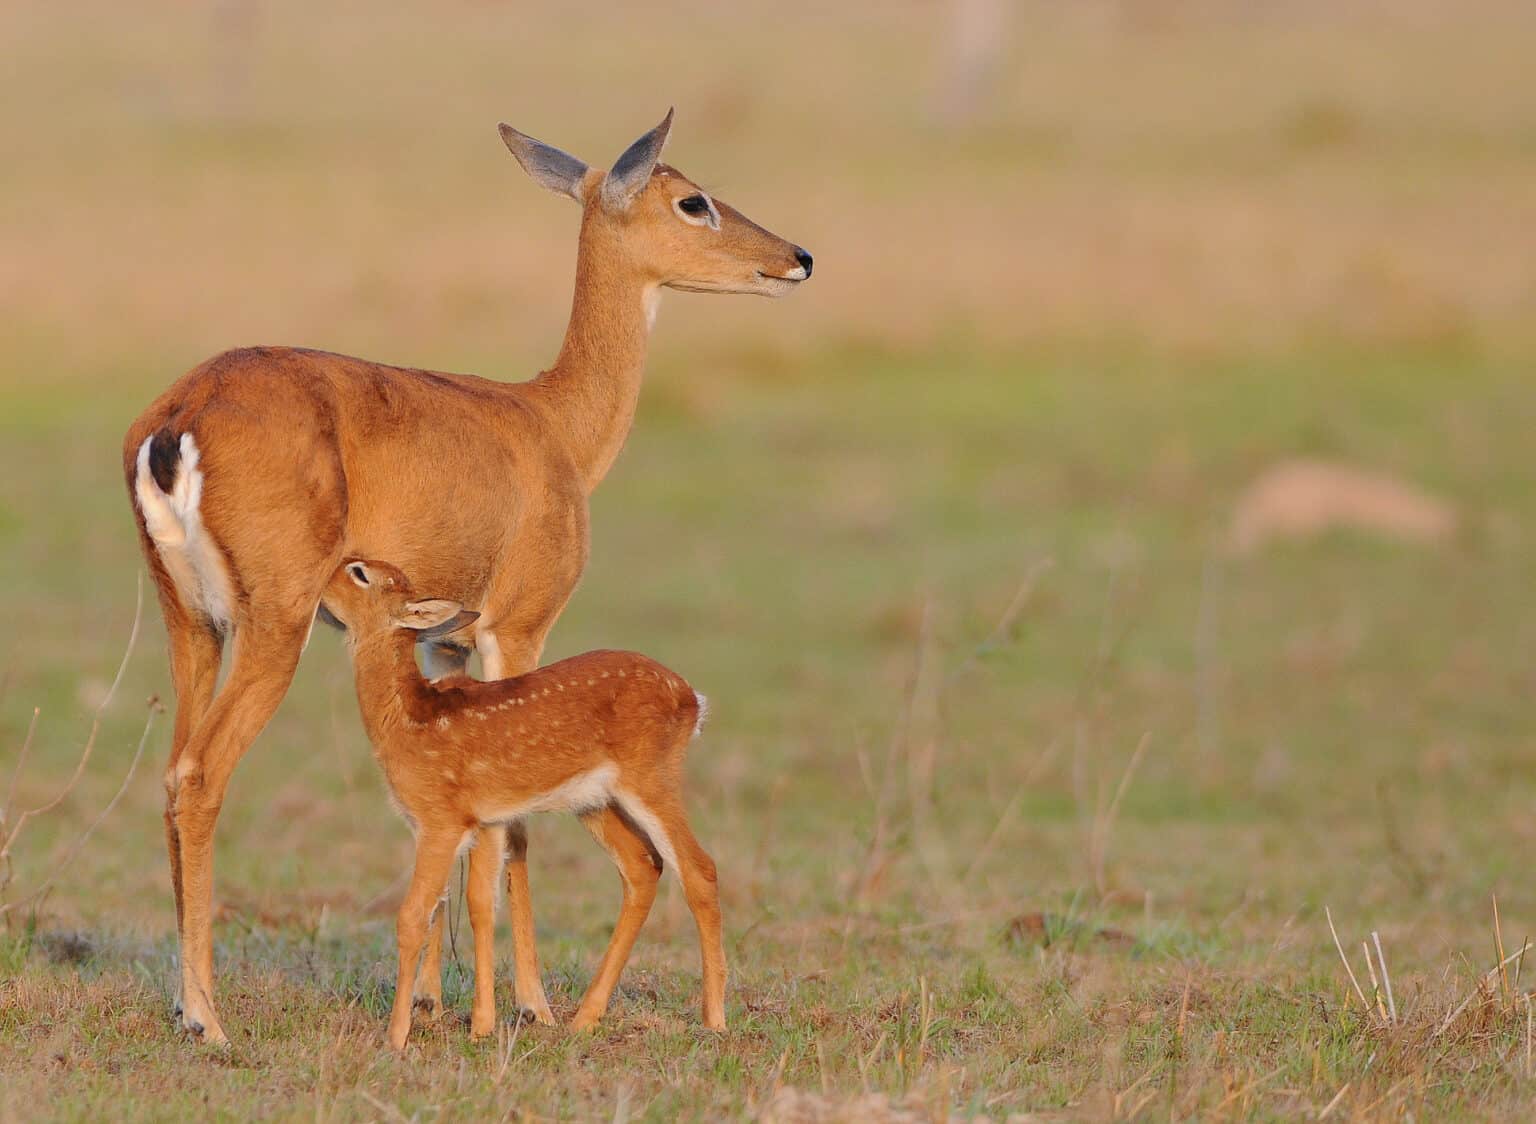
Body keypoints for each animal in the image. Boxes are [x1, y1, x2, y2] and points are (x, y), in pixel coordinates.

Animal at [324, 558, 723, 1048]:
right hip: (594, 800)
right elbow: (475, 902)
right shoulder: (485, 819)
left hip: (651, 776)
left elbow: (412, 916)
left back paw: (714, 1019)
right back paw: (583, 1018)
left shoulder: (441, 819)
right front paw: (480, 1025)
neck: (406, 718)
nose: (320, 580)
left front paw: (396, 1036)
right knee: (643, 866)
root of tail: (692, 700)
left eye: (358, 573)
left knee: (699, 868)